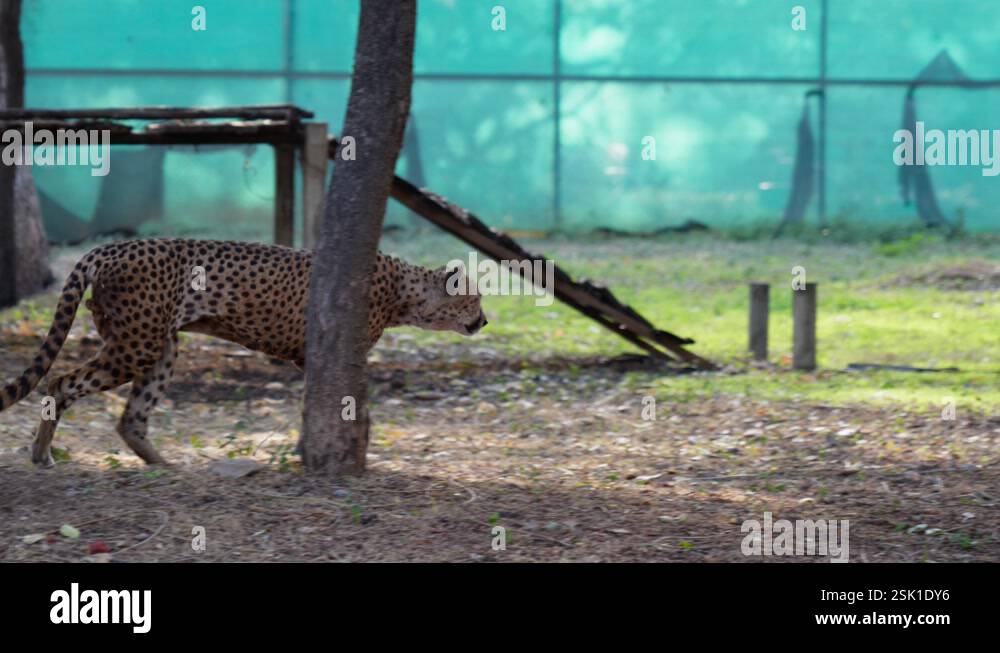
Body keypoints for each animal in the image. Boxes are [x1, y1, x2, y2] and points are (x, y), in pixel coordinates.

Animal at [0, 238, 486, 466]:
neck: (405, 291)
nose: (484, 321)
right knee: (60, 382)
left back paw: (166, 466)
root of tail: (113, 246)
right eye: (475, 299)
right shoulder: (314, 354)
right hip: (136, 346)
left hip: (160, 348)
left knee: (130, 417)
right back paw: (41, 453)